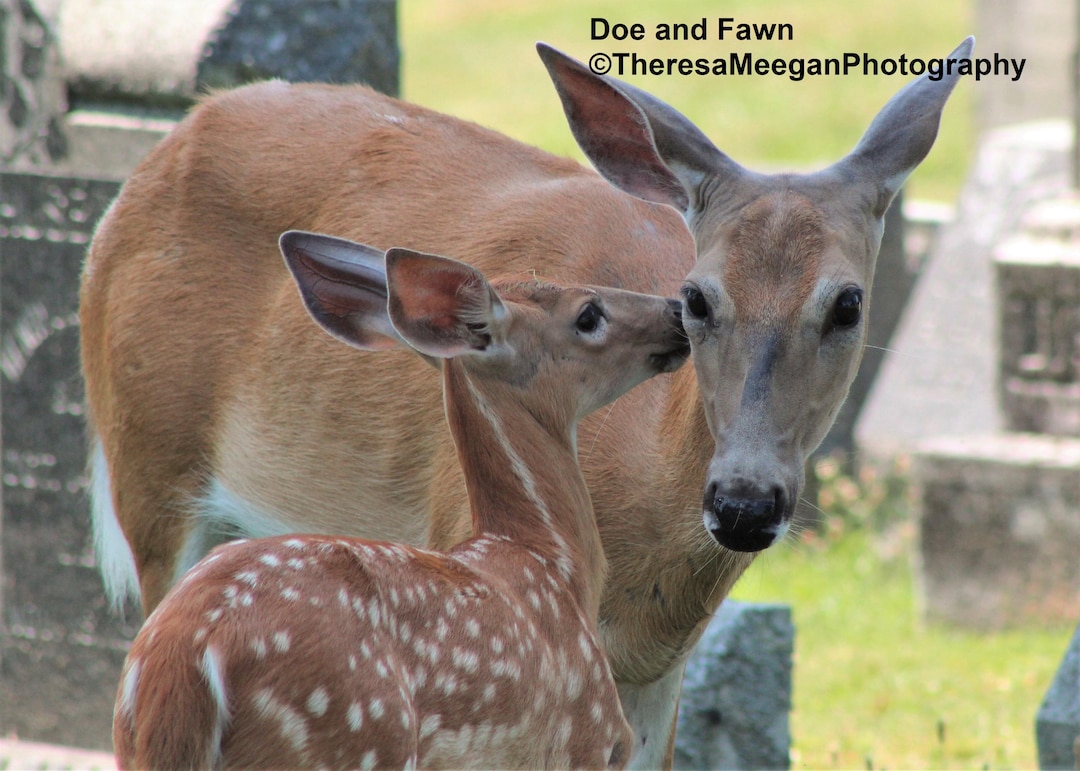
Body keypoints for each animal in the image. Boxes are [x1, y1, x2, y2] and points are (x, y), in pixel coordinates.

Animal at [113, 231, 691, 769]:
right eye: (588, 314)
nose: (678, 309)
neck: (547, 558)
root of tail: (188, 658)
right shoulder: (583, 742)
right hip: (354, 735)